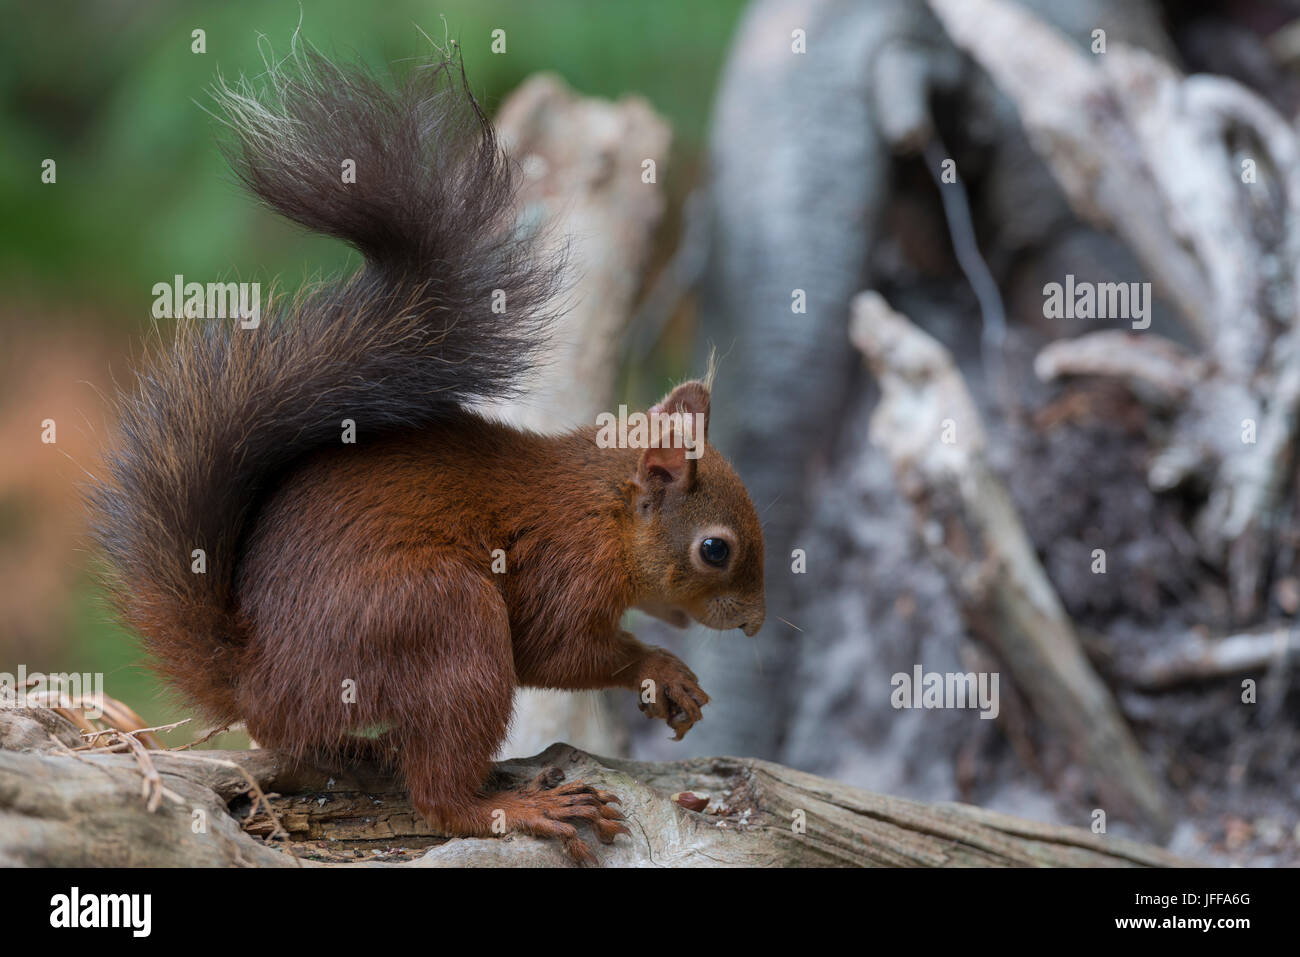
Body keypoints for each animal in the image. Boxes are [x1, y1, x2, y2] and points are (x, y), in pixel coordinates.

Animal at [88, 48, 766, 864]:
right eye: (715, 549)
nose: (758, 623)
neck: (603, 509)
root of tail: (257, 677)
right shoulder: (564, 572)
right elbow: (558, 654)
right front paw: (660, 669)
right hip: (442, 623)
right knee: (440, 795)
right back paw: (515, 807)